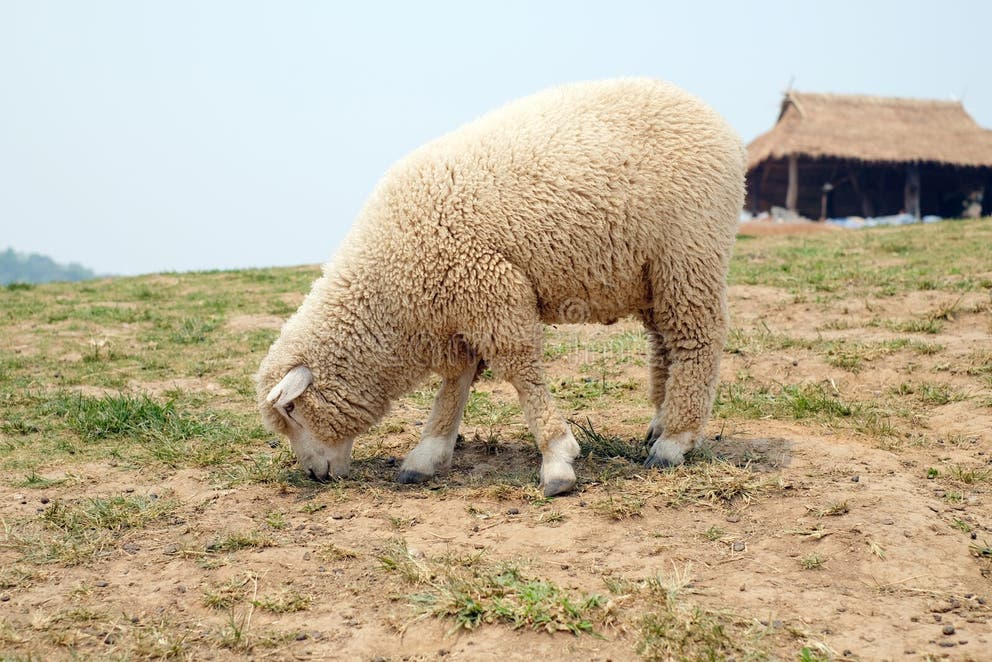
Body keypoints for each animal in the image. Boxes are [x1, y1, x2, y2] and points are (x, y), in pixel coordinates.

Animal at [256, 78, 745, 497]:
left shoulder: (491, 286)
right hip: (651, 273)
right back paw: (660, 425)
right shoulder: (458, 303)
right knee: (665, 344)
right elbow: (456, 381)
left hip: (689, 252)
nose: (314, 475)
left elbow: (520, 371)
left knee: (697, 339)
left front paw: (557, 459)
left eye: (291, 410)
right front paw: (429, 453)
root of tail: (716, 120)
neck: (389, 286)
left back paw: (675, 441)